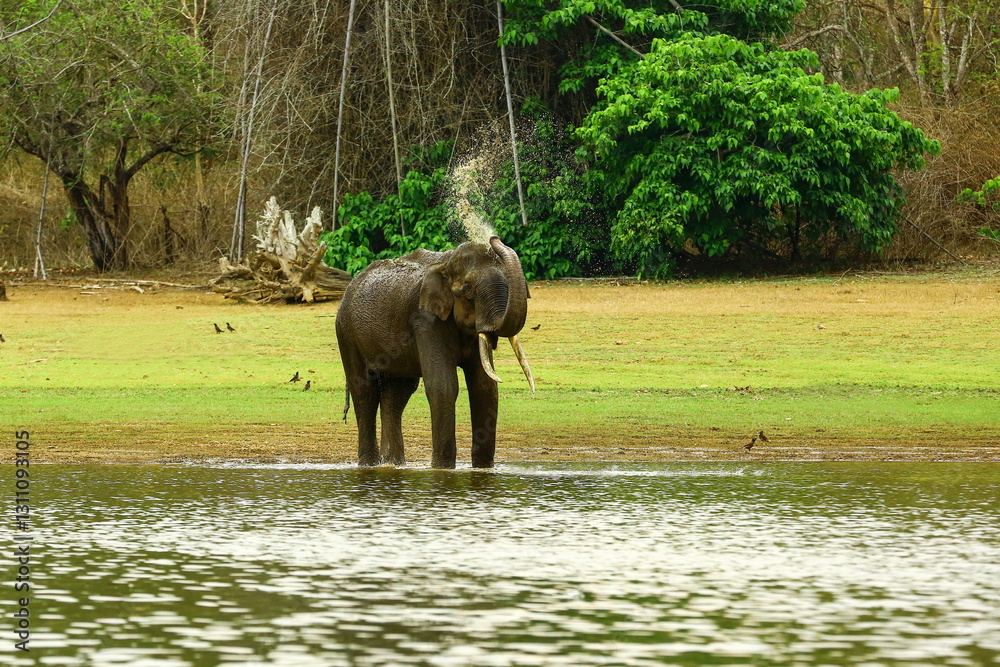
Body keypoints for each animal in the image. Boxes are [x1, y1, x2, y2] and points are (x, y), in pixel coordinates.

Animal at [336, 235, 534, 468]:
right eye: (468, 289)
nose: (493, 238)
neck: (446, 263)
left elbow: (485, 387)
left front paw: (483, 468)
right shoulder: (425, 321)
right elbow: (443, 386)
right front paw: (442, 468)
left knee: (397, 394)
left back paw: (394, 464)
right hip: (346, 331)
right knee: (364, 391)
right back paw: (369, 465)